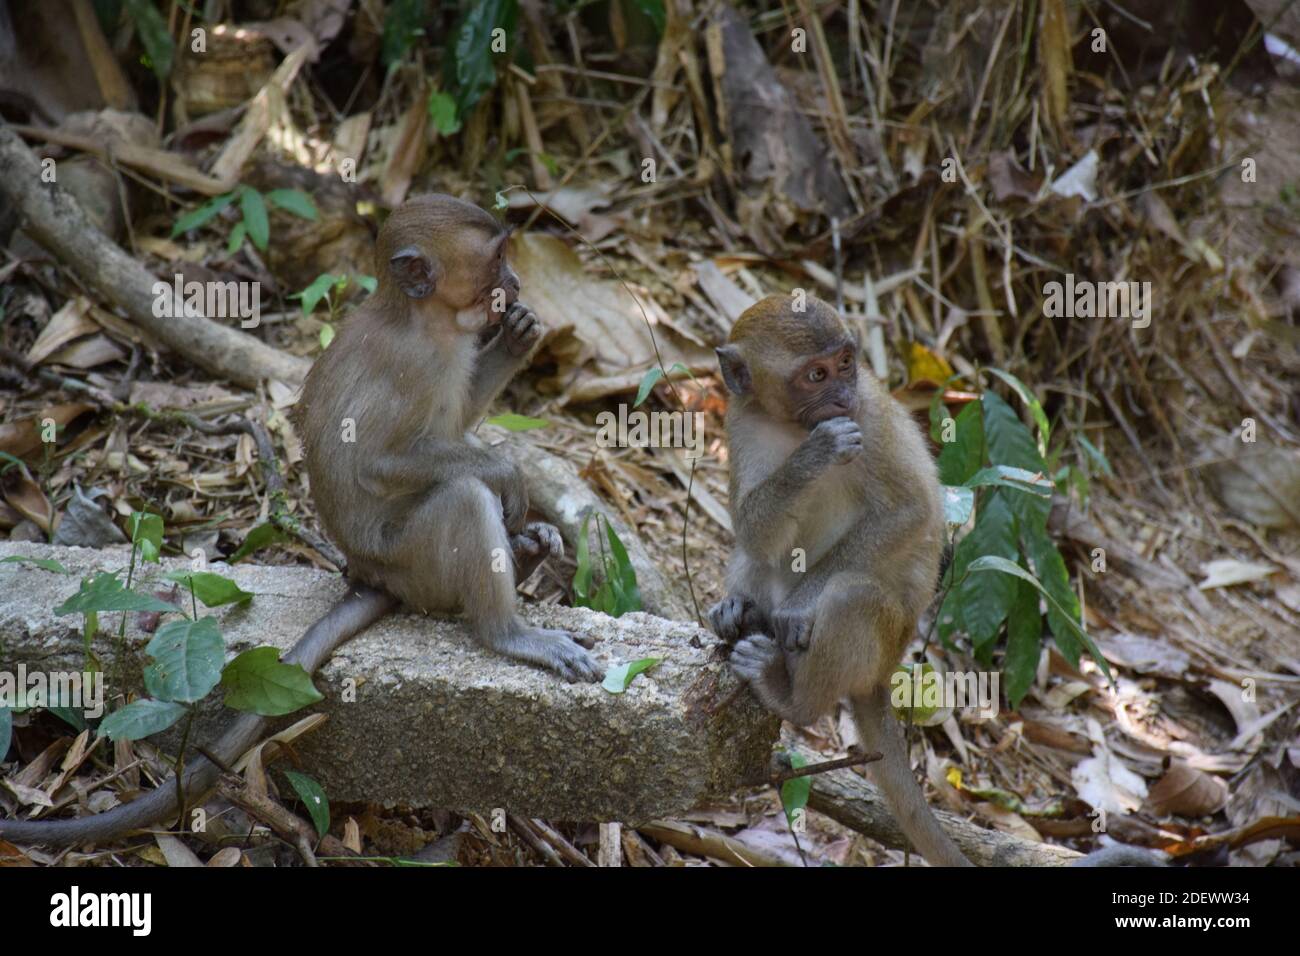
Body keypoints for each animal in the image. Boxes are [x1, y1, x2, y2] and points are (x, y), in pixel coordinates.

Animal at [707, 294, 1166, 868]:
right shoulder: (741, 421)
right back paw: (742, 612)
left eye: (845, 364)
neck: (789, 425)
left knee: (850, 595)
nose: (842, 397)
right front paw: (811, 460)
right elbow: (753, 530)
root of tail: (884, 671)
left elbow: (910, 512)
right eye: (815, 375)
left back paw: (789, 693)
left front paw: (798, 603)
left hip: (884, 639)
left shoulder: (869, 418)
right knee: (762, 557)